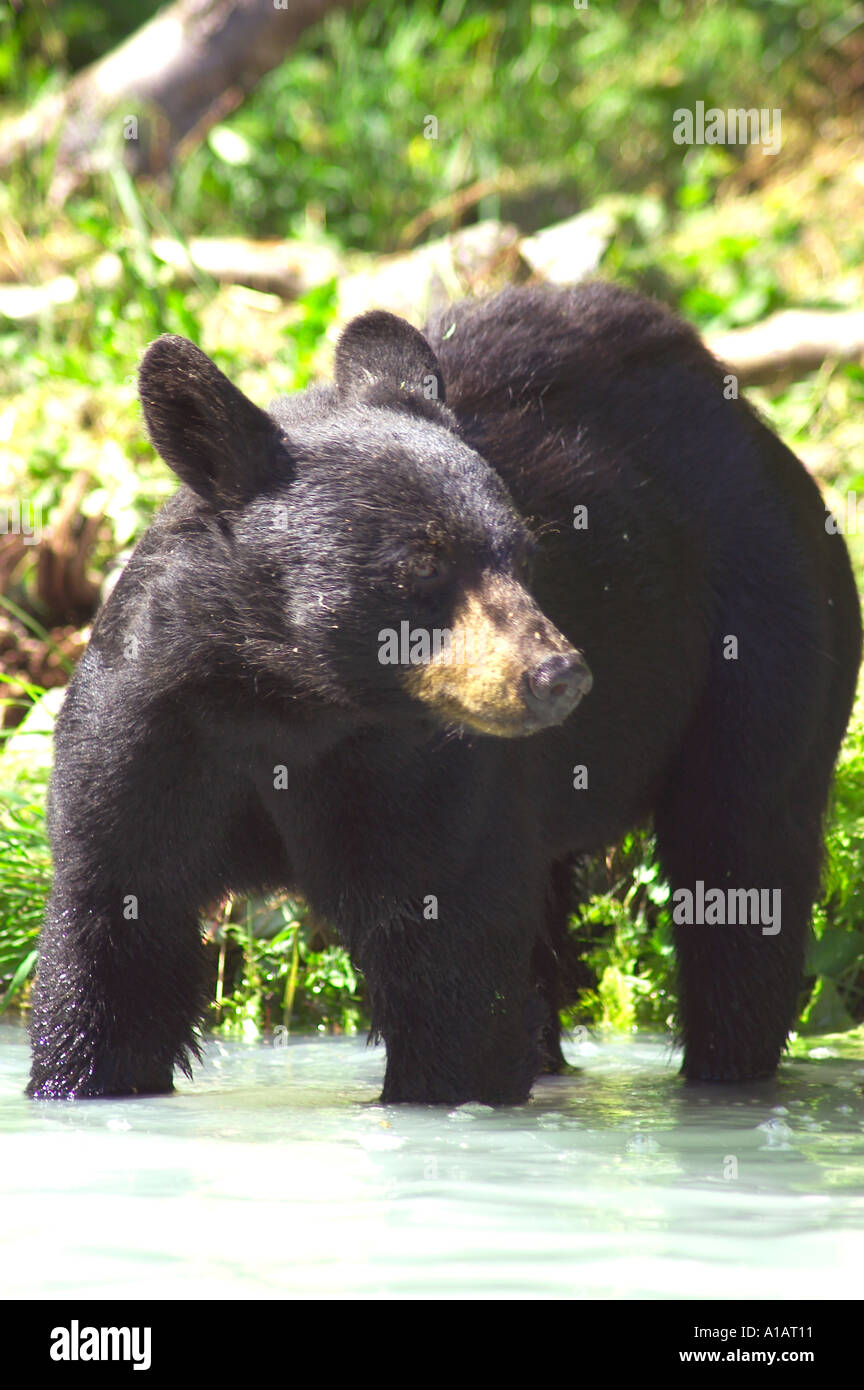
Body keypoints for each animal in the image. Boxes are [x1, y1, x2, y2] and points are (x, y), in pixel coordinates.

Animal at [27, 281, 862, 1106]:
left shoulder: (421, 769)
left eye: (524, 557)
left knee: (743, 857)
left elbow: (453, 965)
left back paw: (727, 1075)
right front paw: (77, 1080)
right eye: (423, 567)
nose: (559, 676)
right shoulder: (152, 734)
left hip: (769, 634)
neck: (294, 704)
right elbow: (113, 952)